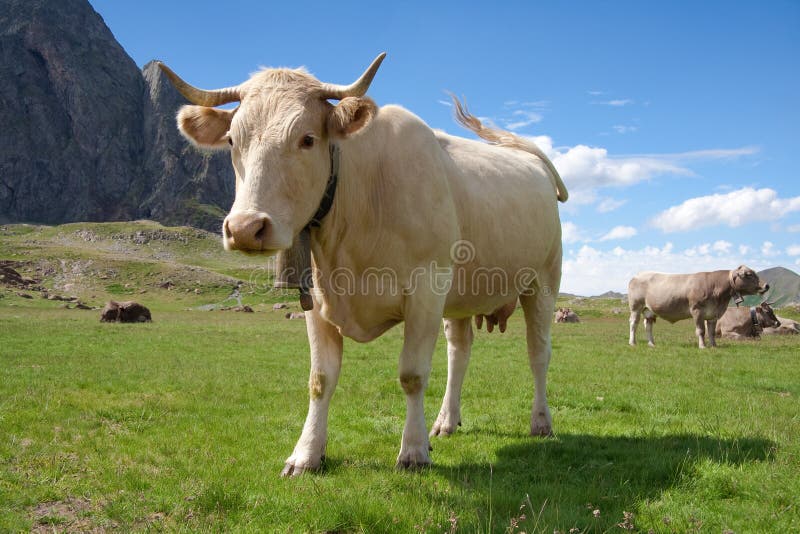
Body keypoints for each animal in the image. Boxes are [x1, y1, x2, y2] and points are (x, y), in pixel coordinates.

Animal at [158, 52, 569, 475]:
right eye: (232, 141)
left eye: (307, 139)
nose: (244, 228)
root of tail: (532, 161)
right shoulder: (317, 298)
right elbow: (320, 378)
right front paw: (306, 453)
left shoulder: (426, 288)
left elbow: (412, 374)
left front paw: (413, 451)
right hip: (461, 295)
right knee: (459, 351)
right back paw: (446, 421)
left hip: (542, 282)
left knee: (538, 352)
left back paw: (541, 423)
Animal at [628, 266, 769, 349]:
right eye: (748, 274)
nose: (766, 285)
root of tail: (638, 274)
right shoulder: (697, 310)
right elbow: (701, 330)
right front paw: (703, 346)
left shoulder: (713, 314)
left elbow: (711, 332)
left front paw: (714, 346)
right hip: (636, 306)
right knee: (634, 323)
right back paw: (632, 343)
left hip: (649, 310)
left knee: (648, 326)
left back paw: (651, 343)